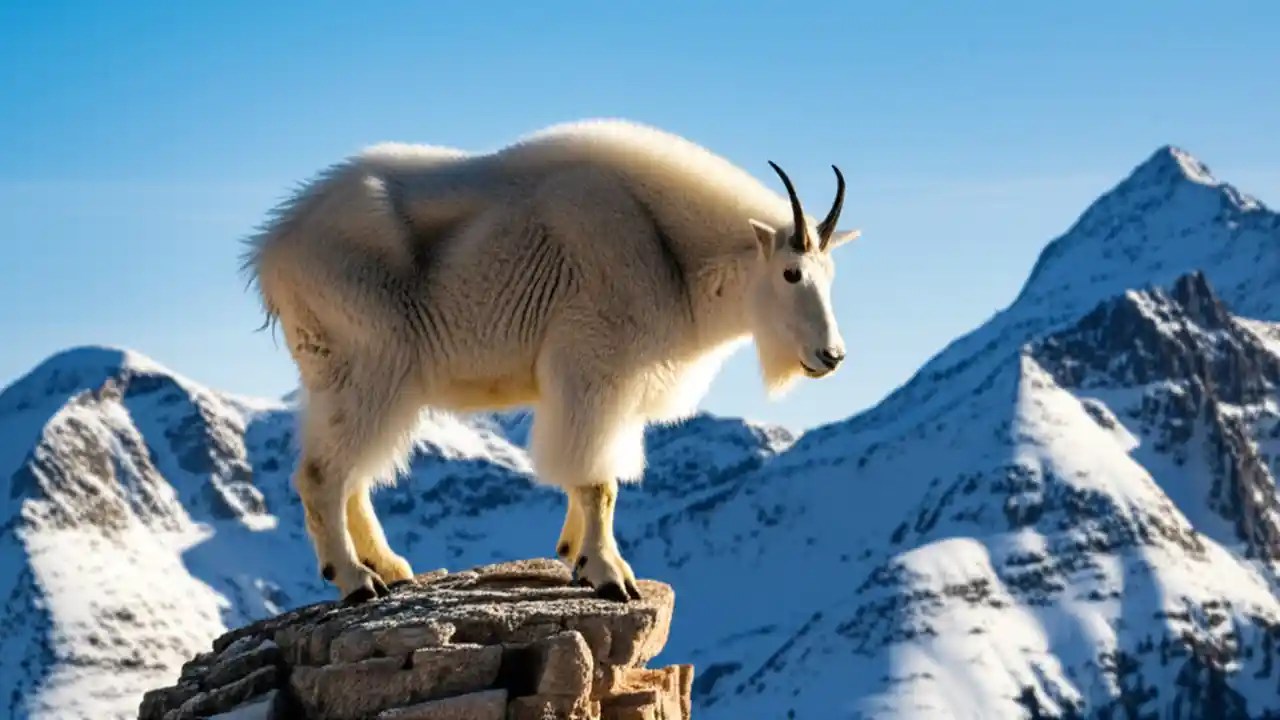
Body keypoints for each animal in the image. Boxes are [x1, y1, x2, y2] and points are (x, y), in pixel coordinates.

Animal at [242, 119, 859, 602]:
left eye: (832, 274)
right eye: (791, 273)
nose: (831, 356)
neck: (670, 253)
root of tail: (271, 250)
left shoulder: (608, 388)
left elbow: (595, 475)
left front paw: (574, 554)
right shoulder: (592, 368)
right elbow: (598, 480)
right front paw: (608, 574)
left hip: (335, 373)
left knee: (349, 473)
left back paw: (391, 568)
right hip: (371, 364)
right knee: (324, 473)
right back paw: (354, 580)